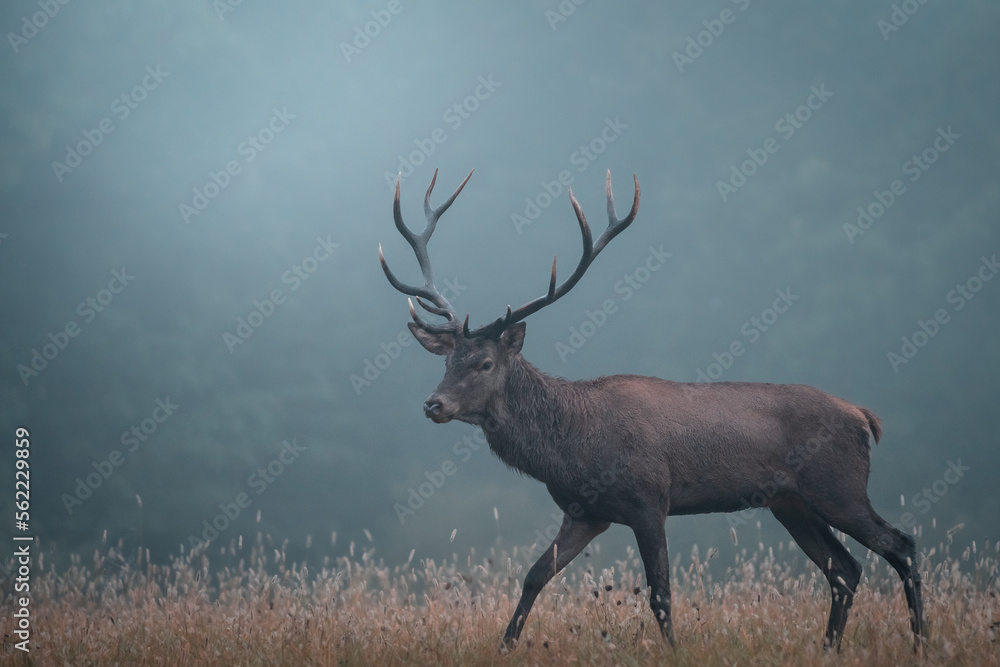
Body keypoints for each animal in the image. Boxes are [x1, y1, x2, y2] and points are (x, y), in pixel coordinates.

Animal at [378, 168, 926, 652]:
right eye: (447, 360)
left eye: (485, 362)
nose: (433, 403)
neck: (572, 448)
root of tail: (864, 417)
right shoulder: (585, 513)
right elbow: (534, 576)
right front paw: (505, 646)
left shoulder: (649, 499)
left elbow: (661, 593)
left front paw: (675, 651)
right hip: (791, 504)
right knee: (845, 570)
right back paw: (830, 648)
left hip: (839, 489)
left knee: (901, 546)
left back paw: (920, 643)